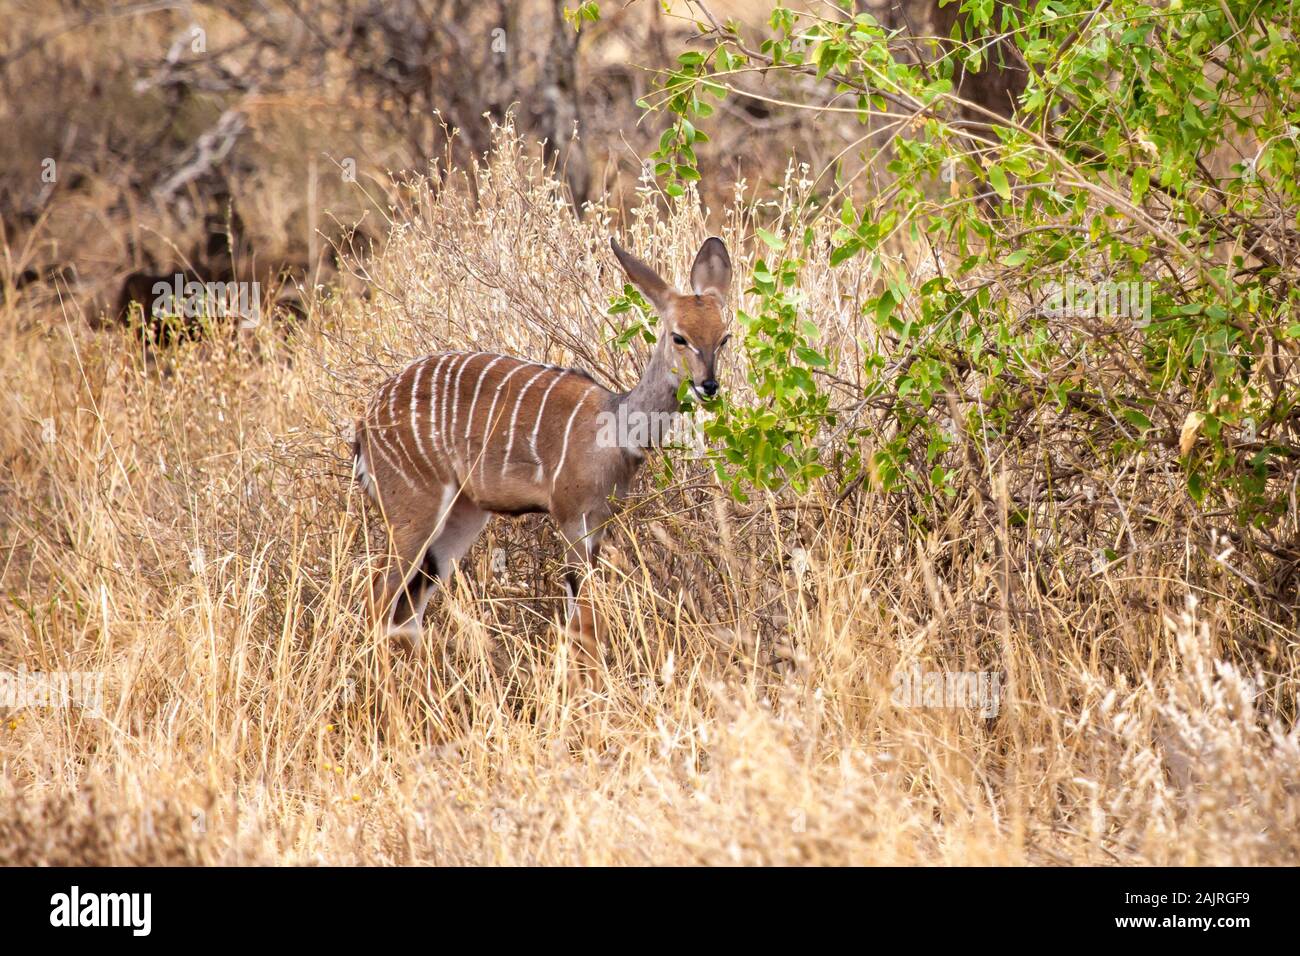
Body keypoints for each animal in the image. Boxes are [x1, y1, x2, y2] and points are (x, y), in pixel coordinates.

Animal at [351, 236, 733, 671]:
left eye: (724, 336)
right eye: (679, 336)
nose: (708, 385)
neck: (616, 426)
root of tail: (364, 425)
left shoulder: (599, 522)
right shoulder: (570, 517)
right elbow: (583, 622)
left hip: (461, 518)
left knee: (406, 610)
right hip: (415, 509)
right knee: (378, 598)